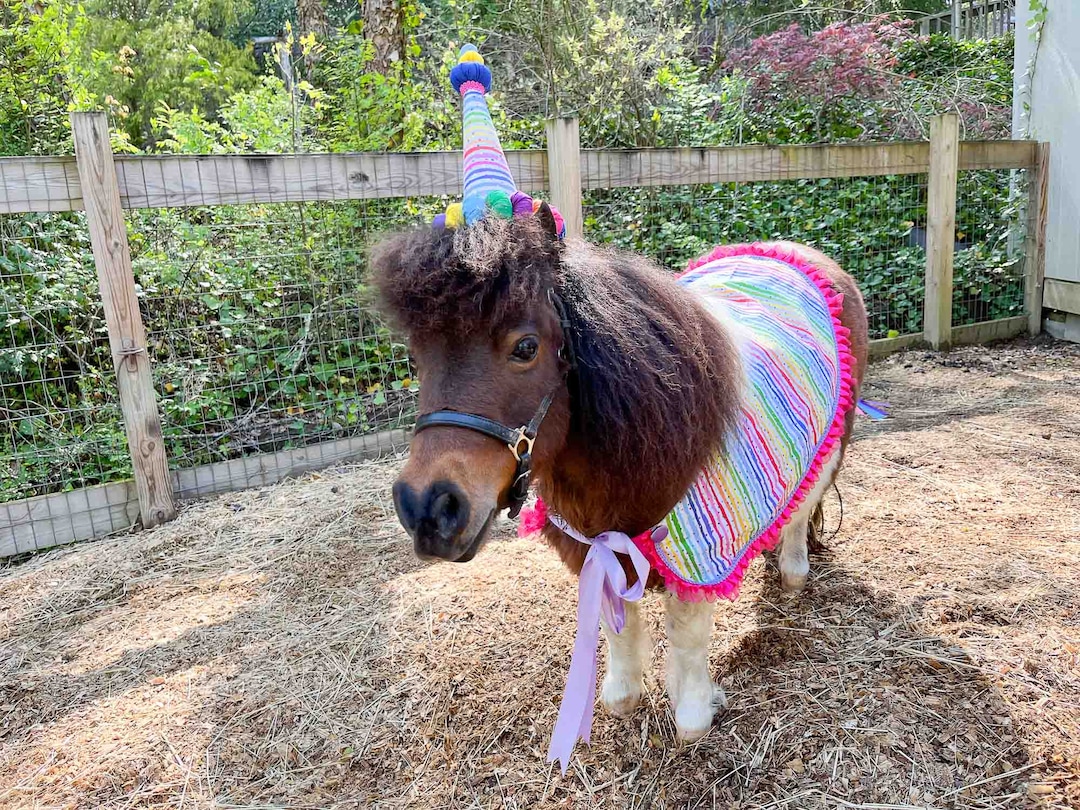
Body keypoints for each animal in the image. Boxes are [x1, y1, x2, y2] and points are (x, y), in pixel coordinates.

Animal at [373, 205, 869, 744]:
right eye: (417, 356)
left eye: (525, 347)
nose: (427, 509)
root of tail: (797, 253)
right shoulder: (595, 548)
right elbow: (619, 634)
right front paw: (625, 690)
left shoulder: (698, 558)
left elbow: (687, 654)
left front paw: (698, 705)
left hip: (831, 439)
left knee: (802, 507)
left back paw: (793, 569)